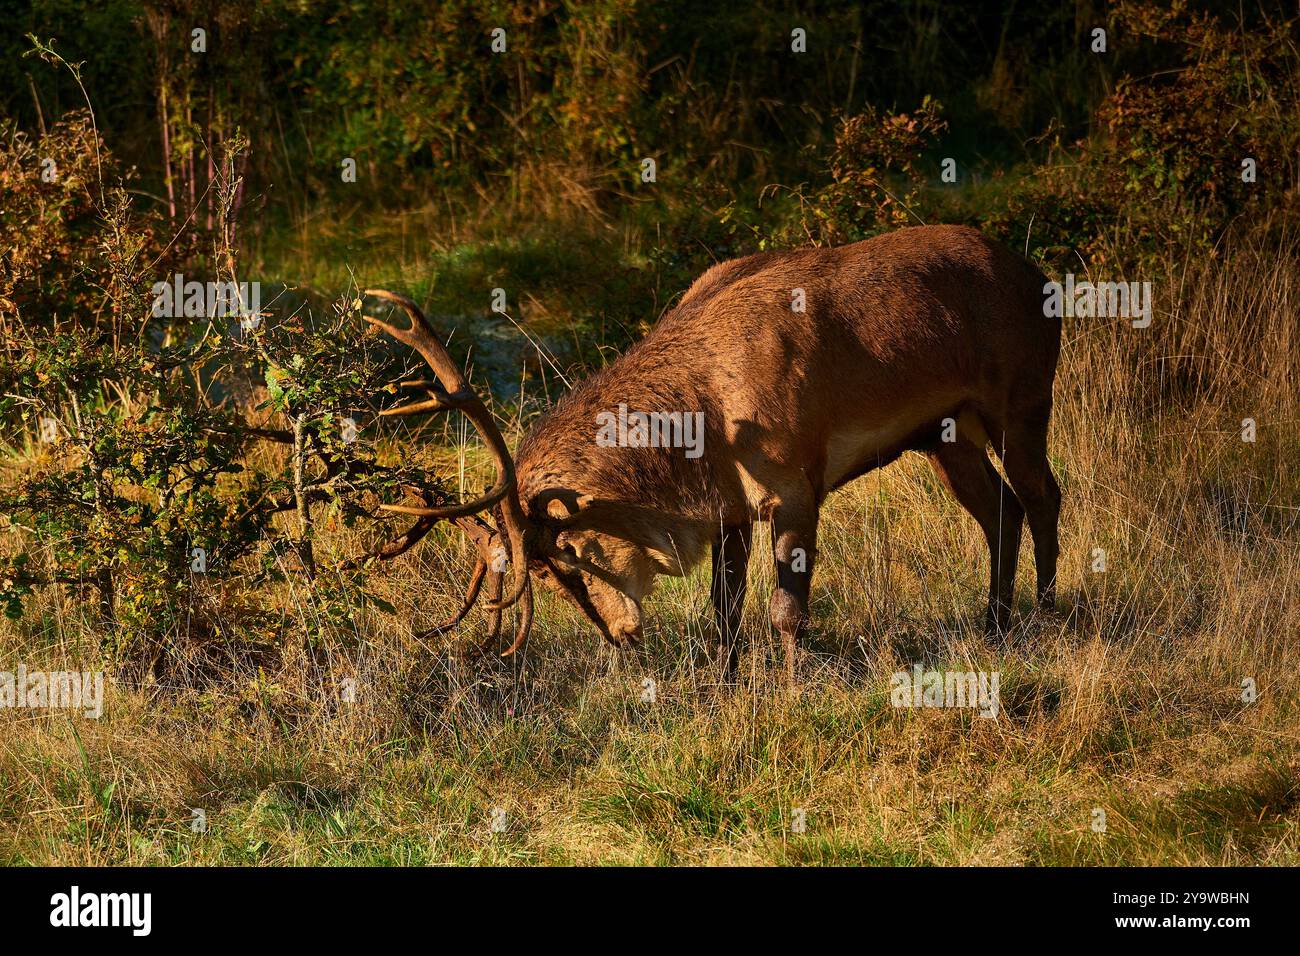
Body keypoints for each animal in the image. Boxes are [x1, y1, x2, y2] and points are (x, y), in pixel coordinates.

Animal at [361, 224, 1062, 684]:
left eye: (564, 559)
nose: (622, 634)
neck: (708, 423)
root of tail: (1045, 280)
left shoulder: (794, 484)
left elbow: (785, 613)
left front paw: (790, 687)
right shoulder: (729, 510)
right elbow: (723, 614)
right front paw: (725, 684)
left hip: (1021, 401)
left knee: (1042, 496)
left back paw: (1045, 615)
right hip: (944, 432)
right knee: (1000, 511)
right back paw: (994, 622)